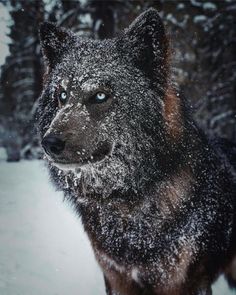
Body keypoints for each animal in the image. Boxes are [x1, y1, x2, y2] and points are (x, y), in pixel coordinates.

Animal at [37, 8, 236, 295]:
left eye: (99, 96)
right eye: (62, 96)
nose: (49, 143)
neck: (129, 199)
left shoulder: (180, 282)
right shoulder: (116, 277)